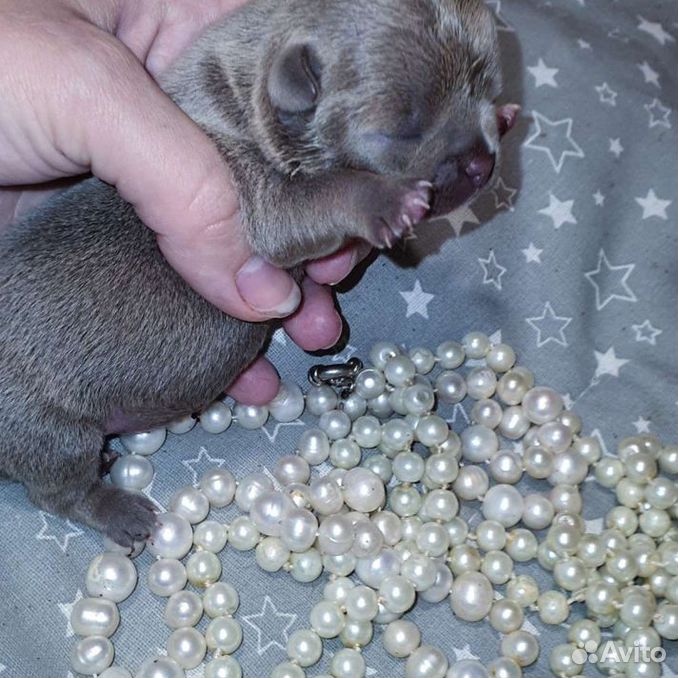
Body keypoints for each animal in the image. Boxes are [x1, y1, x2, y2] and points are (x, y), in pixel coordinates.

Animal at [0, 0, 516, 548]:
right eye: (401, 133)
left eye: (489, 85)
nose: (482, 164)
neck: (242, 94)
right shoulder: (251, 195)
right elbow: (321, 197)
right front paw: (386, 199)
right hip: (45, 427)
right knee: (58, 491)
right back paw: (121, 510)